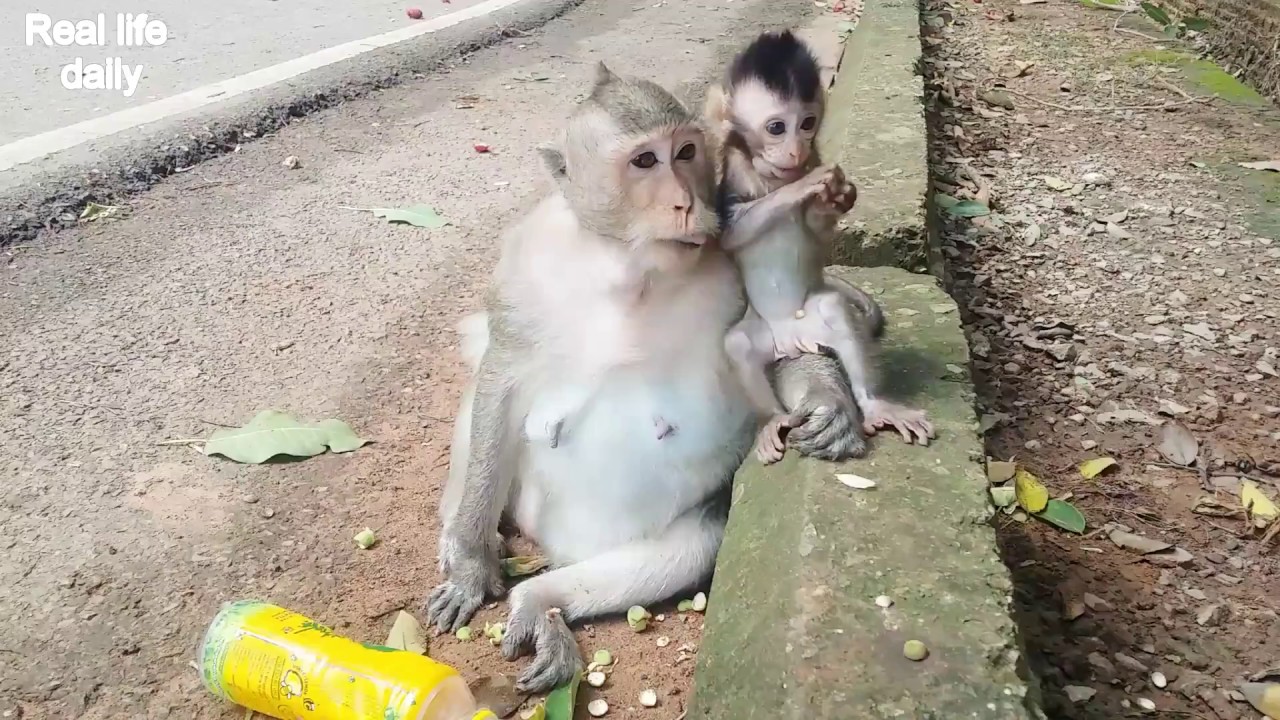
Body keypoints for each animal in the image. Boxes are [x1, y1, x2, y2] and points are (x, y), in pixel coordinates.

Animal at [425, 62, 871, 694]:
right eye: (644, 161)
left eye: (685, 152)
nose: (685, 203)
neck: (633, 270)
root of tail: (559, 544)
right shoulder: (523, 266)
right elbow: (502, 378)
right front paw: (468, 564)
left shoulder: (733, 241)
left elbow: (778, 330)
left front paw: (829, 404)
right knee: (480, 392)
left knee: (693, 543)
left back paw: (540, 603)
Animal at [705, 30, 935, 463]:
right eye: (777, 127)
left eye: (808, 124)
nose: (795, 149)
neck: (772, 174)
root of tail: (790, 341)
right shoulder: (734, 170)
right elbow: (730, 234)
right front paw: (805, 187)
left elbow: (816, 231)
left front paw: (836, 198)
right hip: (760, 335)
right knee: (737, 344)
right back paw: (773, 421)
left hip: (813, 320)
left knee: (833, 308)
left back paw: (874, 405)